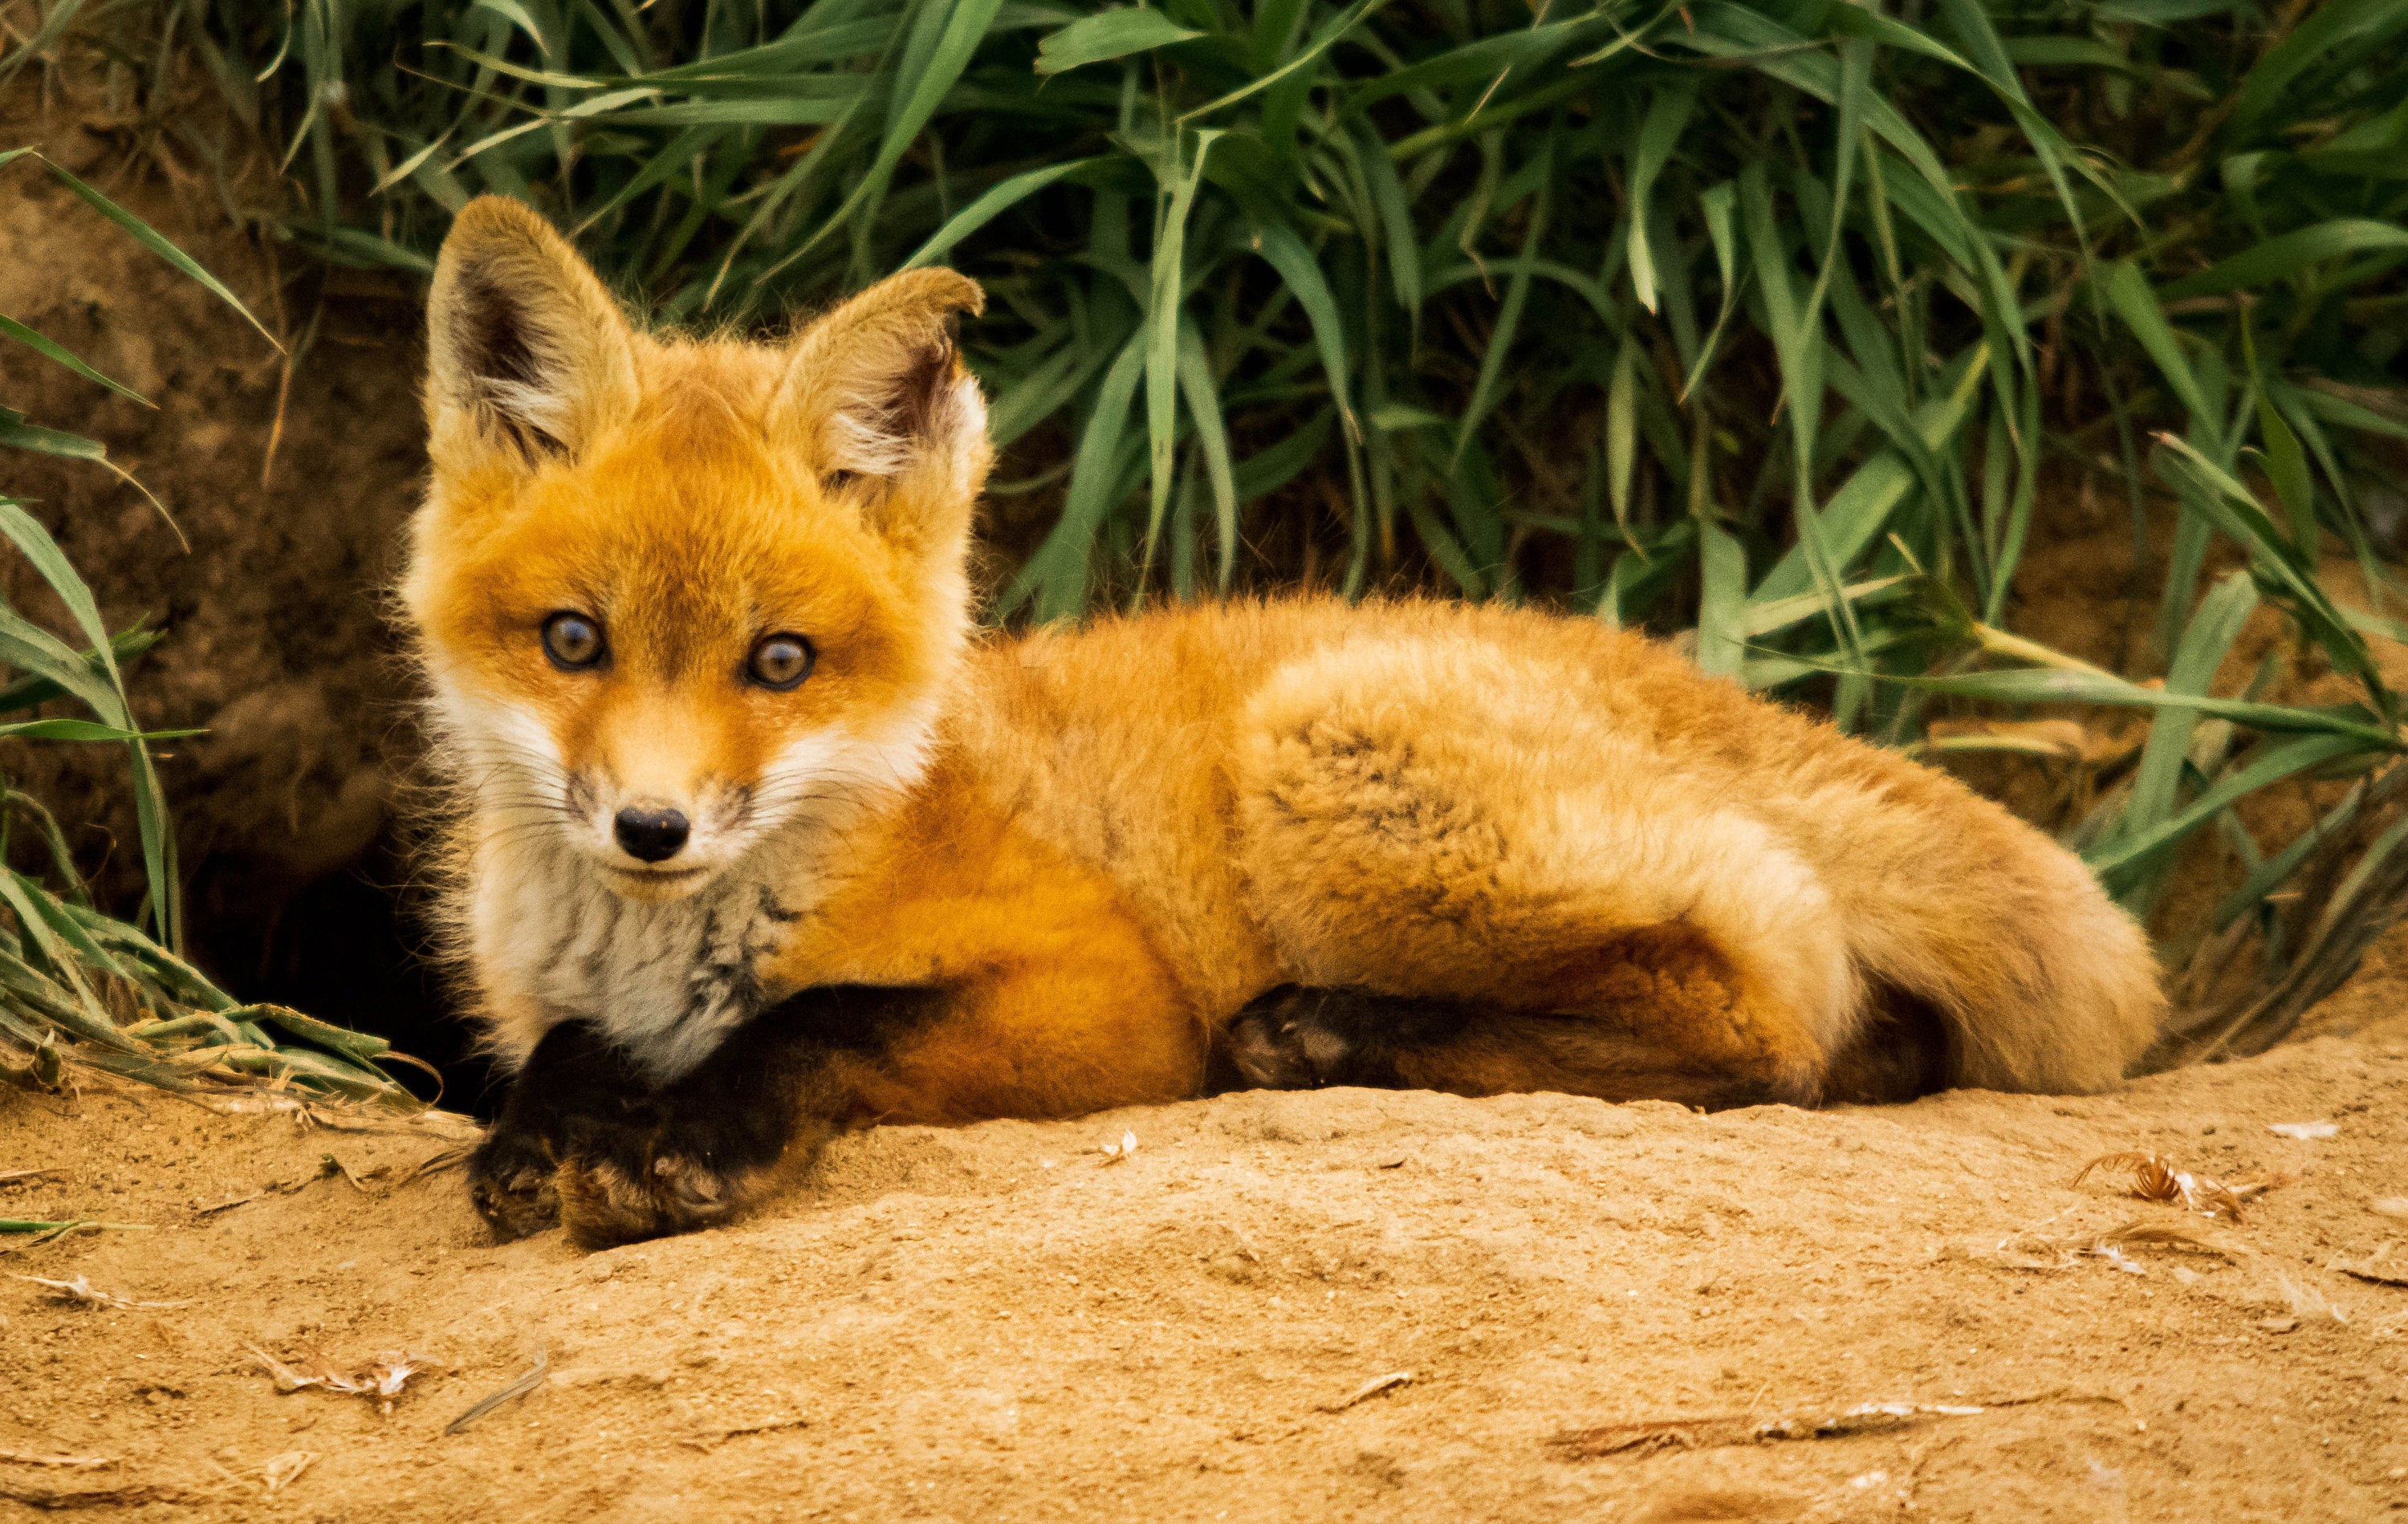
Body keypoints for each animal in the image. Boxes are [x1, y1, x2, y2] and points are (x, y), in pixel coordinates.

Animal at [404, 196, 2166, 1247]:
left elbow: (817, 1020)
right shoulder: (572, 991)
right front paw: (540, 1130)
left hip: (1319, 748)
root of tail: (1692, 678)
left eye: (779, 661)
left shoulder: (1103, 995)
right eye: (573, 640)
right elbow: (563, 1041)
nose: (651, 828)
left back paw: (1334, 1033)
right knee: (1863, 1025)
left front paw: (687, 1138)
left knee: (1777, 1025)